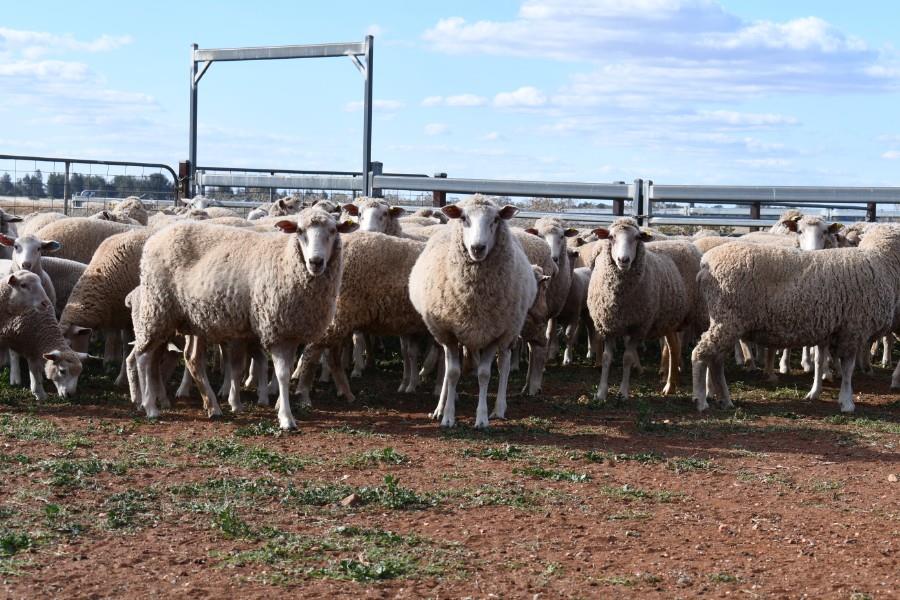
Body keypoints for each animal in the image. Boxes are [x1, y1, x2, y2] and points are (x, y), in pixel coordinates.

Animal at [133, 207, 357, 430]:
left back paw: (212, 407)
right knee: (143, 356)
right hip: (156, 308)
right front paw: (286, 417)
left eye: (333, 231)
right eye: (300, 231)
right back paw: (149, 406)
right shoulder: (275, 329)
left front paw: (272, 405)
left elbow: (278, 368)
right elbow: (282, 374)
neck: (285, 259)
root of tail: (154, 238)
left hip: (193, 319)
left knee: (191, 359)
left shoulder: (292, 332)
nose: (316, 262)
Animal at [294, 231, 427, 406]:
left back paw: (346, 392)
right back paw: (304, 394)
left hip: (342, 318)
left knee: (331, 355)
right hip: (341, 312)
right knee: (313, 350)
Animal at [408, 195, 537, 428]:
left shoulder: (493, 334)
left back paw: (499, 409)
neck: (474, 298)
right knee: (448, 366)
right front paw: (447, 416)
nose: (478, 248)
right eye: (464, 218)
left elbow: (485, 374)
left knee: (504, 363)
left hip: (510, 329)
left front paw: (482, 418)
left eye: (495, 220)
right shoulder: (448, 334)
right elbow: (452, 373)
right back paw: (439, 408)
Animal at [586, 218, 698, 402]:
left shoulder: (638, 327)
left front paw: (623, 392)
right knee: (674, 348)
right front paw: (601, 393)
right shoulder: (609, 326)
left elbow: (627, 358)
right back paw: (670, 386)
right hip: (669, 319)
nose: (623, 259)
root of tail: (686, 243)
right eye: (611, 237)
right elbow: (607, 358)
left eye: (637, 237)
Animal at [691, 225, 900, 413]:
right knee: (701, 354)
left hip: (725, 321)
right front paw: (847, 402)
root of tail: (704, 263)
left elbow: (822, 362)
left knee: (715, 360)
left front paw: (817, 391)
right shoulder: (853, 329)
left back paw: (724, 400)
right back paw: (701, 399)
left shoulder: (831, 330)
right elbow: (848, 369)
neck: (881, 263)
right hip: (727, 319)